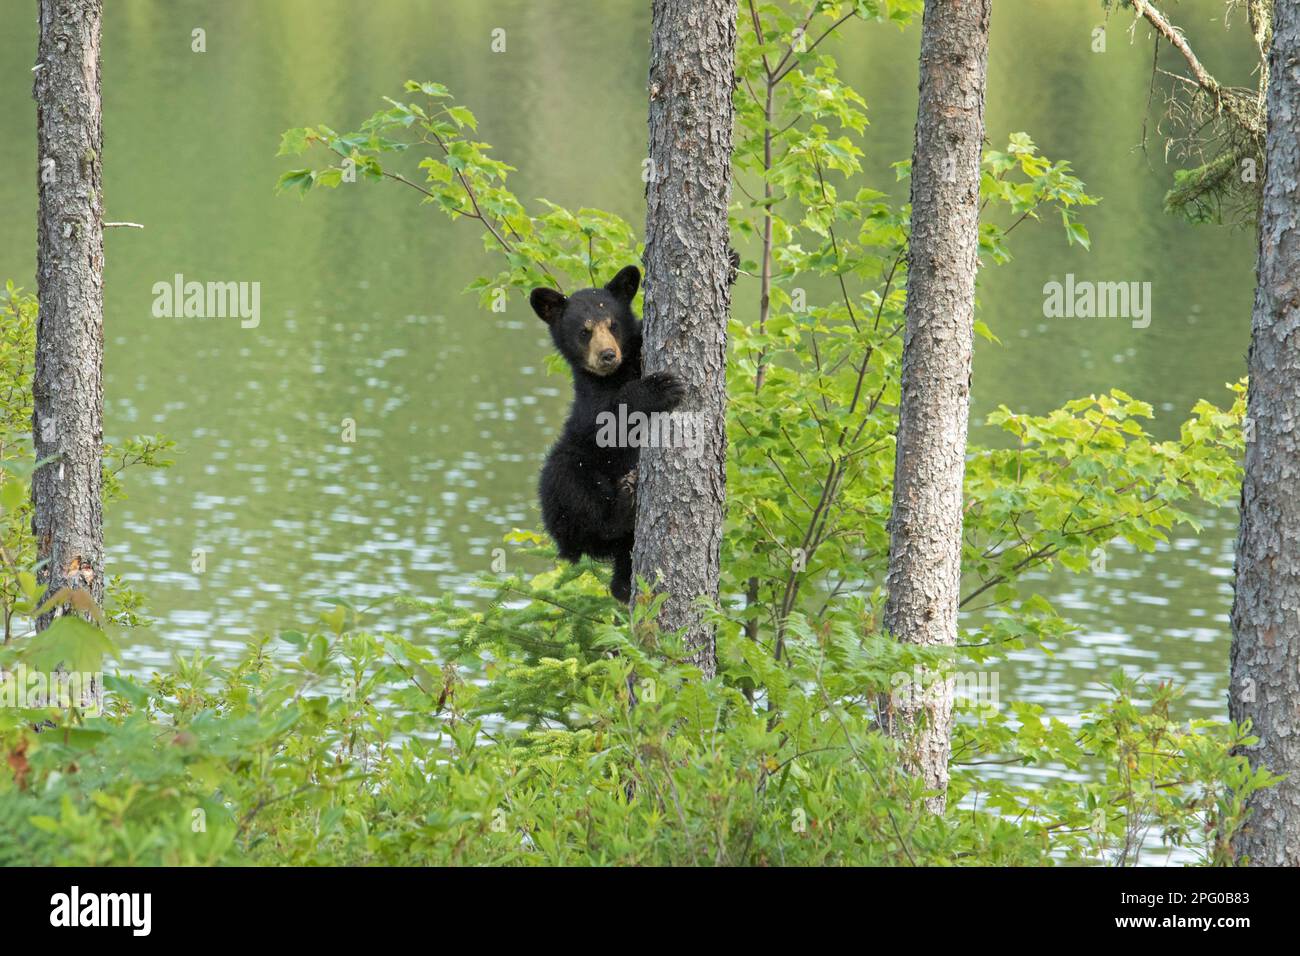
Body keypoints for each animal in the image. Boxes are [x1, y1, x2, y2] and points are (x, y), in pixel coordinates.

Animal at [529, 265, 684, 602]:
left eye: (613, 324)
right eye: (584, 331)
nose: (608, 355)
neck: (617, 374)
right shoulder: (589, 402)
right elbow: (608, 421)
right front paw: (657, 389)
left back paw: (623, 582)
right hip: (570, 474)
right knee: (570, 485)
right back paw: (625, 503)